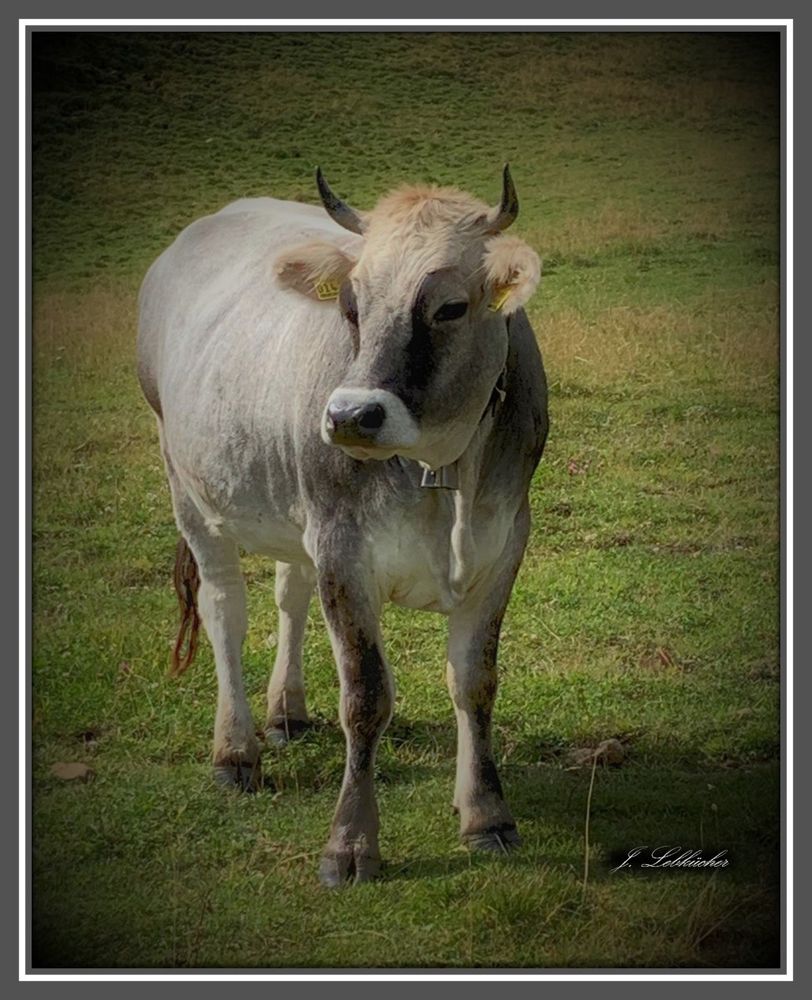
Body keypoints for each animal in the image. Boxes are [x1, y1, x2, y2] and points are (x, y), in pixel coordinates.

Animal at [136, 165, 548, 886]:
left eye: (449, 307)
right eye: (350, 306)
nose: (352, 416)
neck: (440, 469)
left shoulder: (503, 547)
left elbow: (475, 682)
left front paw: (486, 814)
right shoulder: (343, 550)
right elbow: (365, 695)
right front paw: (350, 843)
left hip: (290, 508)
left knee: (288, 594)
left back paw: (286, 711)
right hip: (186, 484)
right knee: (224, 609)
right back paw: (235, 751)